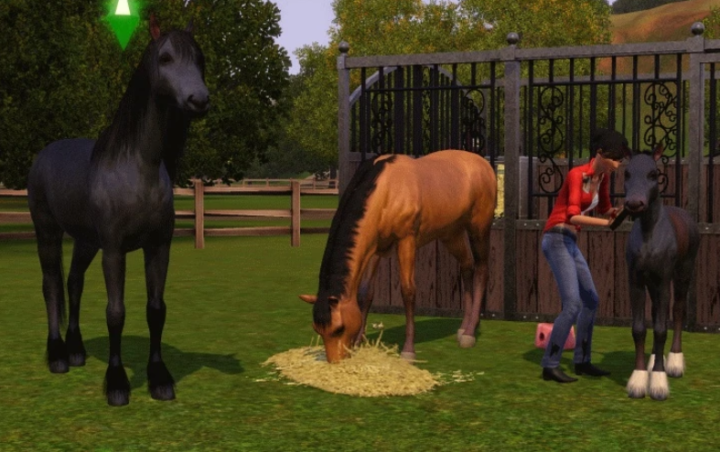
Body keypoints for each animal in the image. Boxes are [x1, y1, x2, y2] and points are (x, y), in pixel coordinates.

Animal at [27, 15, 209, 406]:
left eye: (200, 59)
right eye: (166, 58)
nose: (199, 100)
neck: (139, 167)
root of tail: (45, 153)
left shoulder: (158, 247)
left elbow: (156, 310)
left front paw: (159, 379)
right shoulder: (114, 251)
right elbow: (115, 313)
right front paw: (116, 384)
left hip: (85, 241)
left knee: (73, 282)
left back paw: (76, 351)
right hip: (47, 232)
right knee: (51, 285)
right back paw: (58, 356)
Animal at [299, 150, 497, 363]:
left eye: (339, 328)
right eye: (318, 330)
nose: (336, 363)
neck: (385, 191)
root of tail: (482, 163)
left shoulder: (406, 241)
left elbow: (407, 290)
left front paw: (408, 351)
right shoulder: (375, 248)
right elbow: (365, 292)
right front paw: (360, 341)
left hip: (479, 227)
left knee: (482, 270)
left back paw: (469, 333)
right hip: (451, 233)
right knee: (467, 266)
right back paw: (465, 327)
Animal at [623, 145, 699, 401]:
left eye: (653, 174)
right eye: (626, 173)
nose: (634, 203)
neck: (649, 233)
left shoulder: (664, 281)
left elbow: (660, 329)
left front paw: (658, 383)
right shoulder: (636, 281)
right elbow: (639, 329)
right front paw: (638, 379)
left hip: (684, 272)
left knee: (677, 311)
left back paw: (674, 362)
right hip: (653, 284)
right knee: (657, 311)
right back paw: (656, 361)